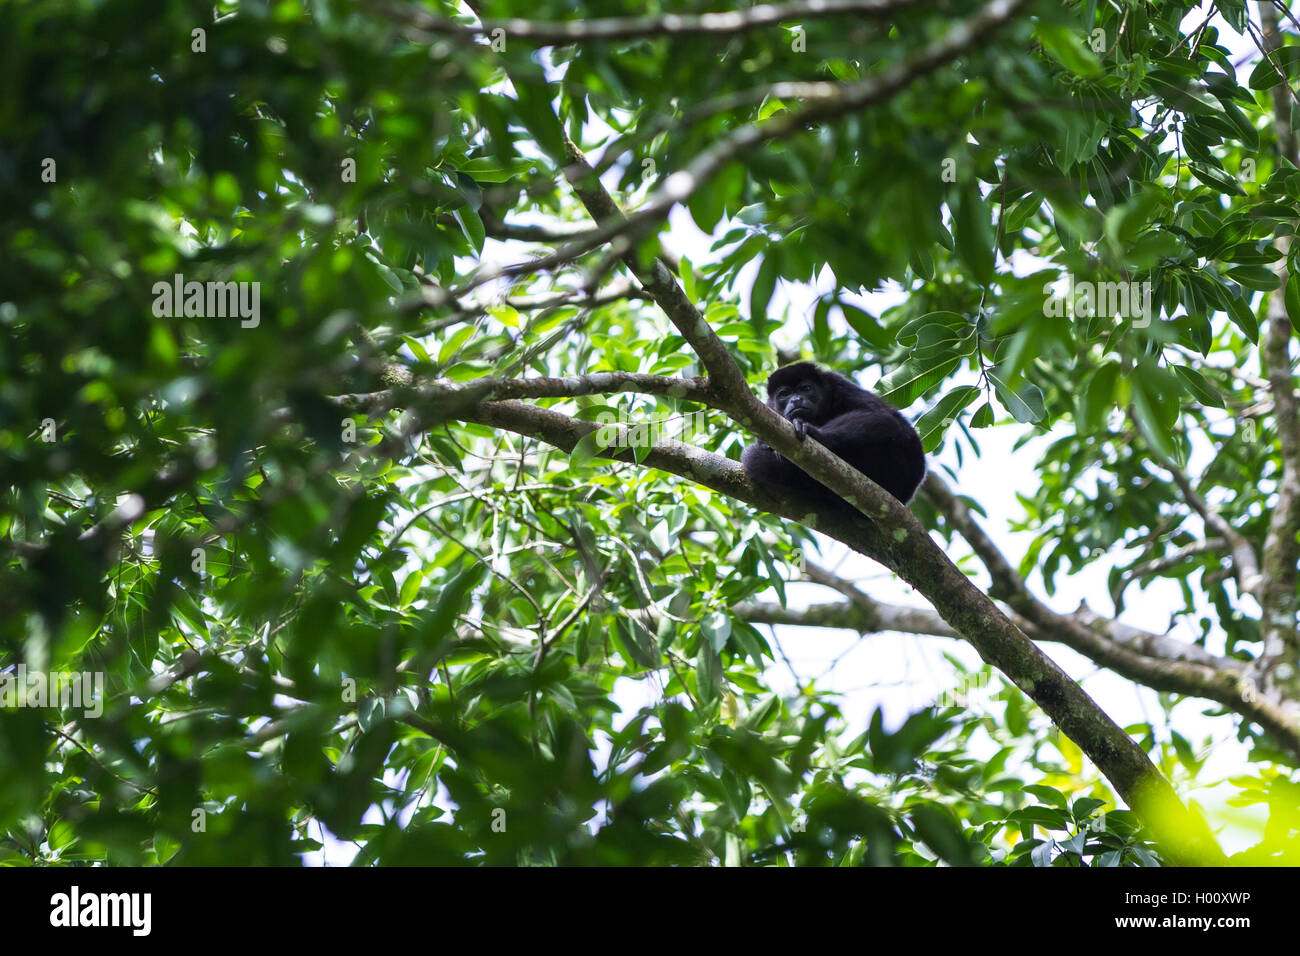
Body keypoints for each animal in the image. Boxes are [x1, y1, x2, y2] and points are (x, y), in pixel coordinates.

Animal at [740, 362, 925, 512]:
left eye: (806, 389)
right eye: (784, 394)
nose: (796, 399)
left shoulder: (839, 384)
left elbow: (882, 417)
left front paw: (815, 433)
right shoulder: (768, 407)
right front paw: (768, 446)